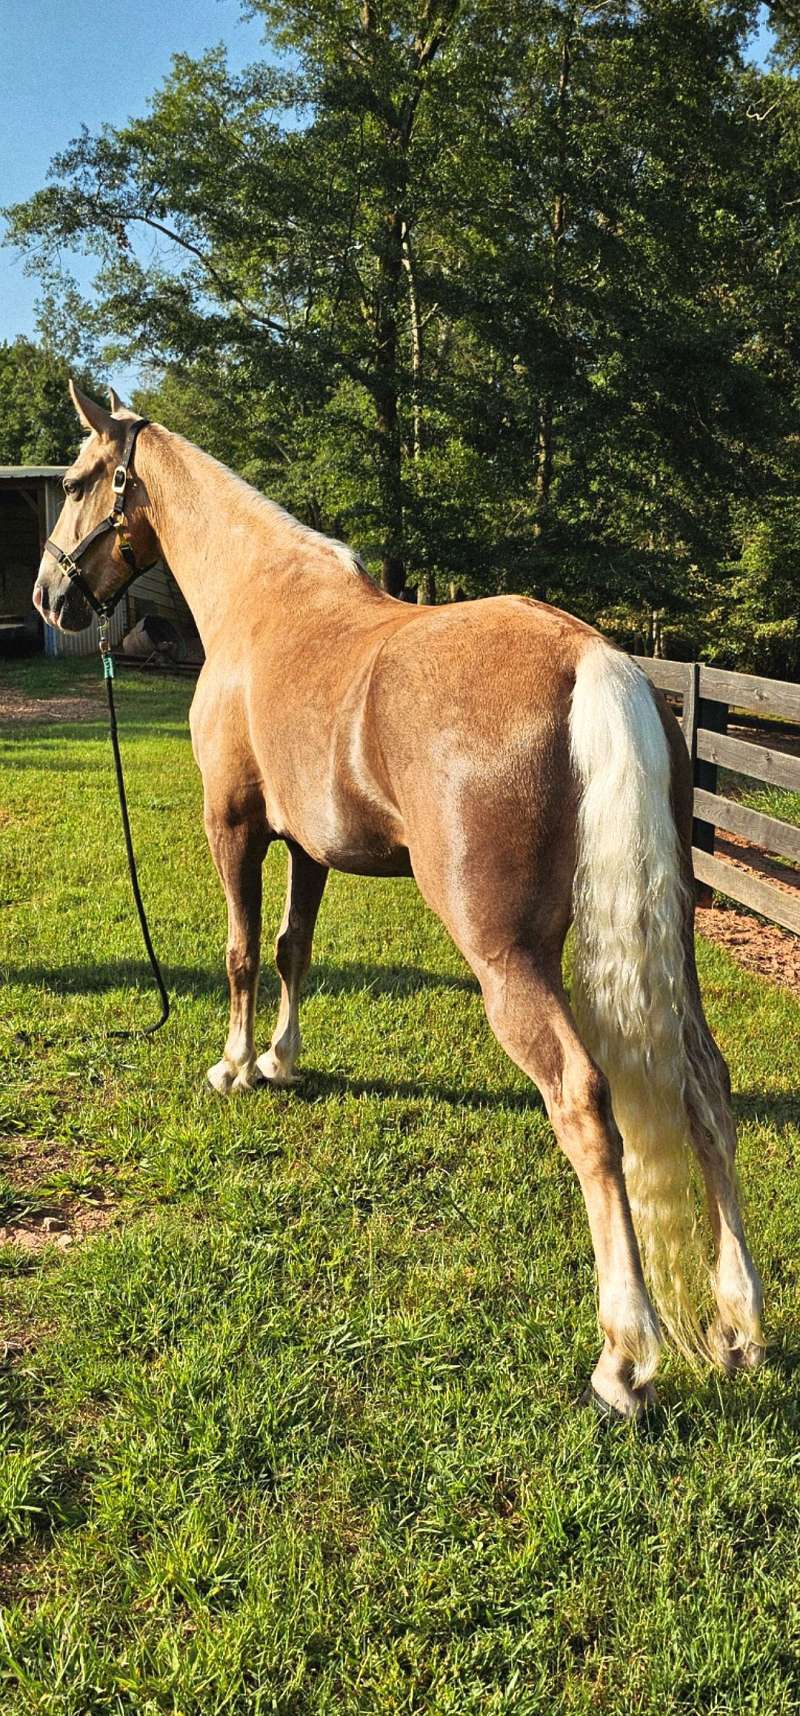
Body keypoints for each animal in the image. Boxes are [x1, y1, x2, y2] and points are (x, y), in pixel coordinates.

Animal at [33, 381, 765, 1418]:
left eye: (75, 481)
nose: (48, 596)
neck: (264, 604)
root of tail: (593, 658)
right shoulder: (309, 846)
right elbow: (294, 949)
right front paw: (282, 1062)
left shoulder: (234, 825)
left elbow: (242, 951)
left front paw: (233, 1066)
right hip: (675, 945)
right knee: (707, 1085)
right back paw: (739, 1328)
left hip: (506, 959)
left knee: (585, 1103)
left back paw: (623, 1357)